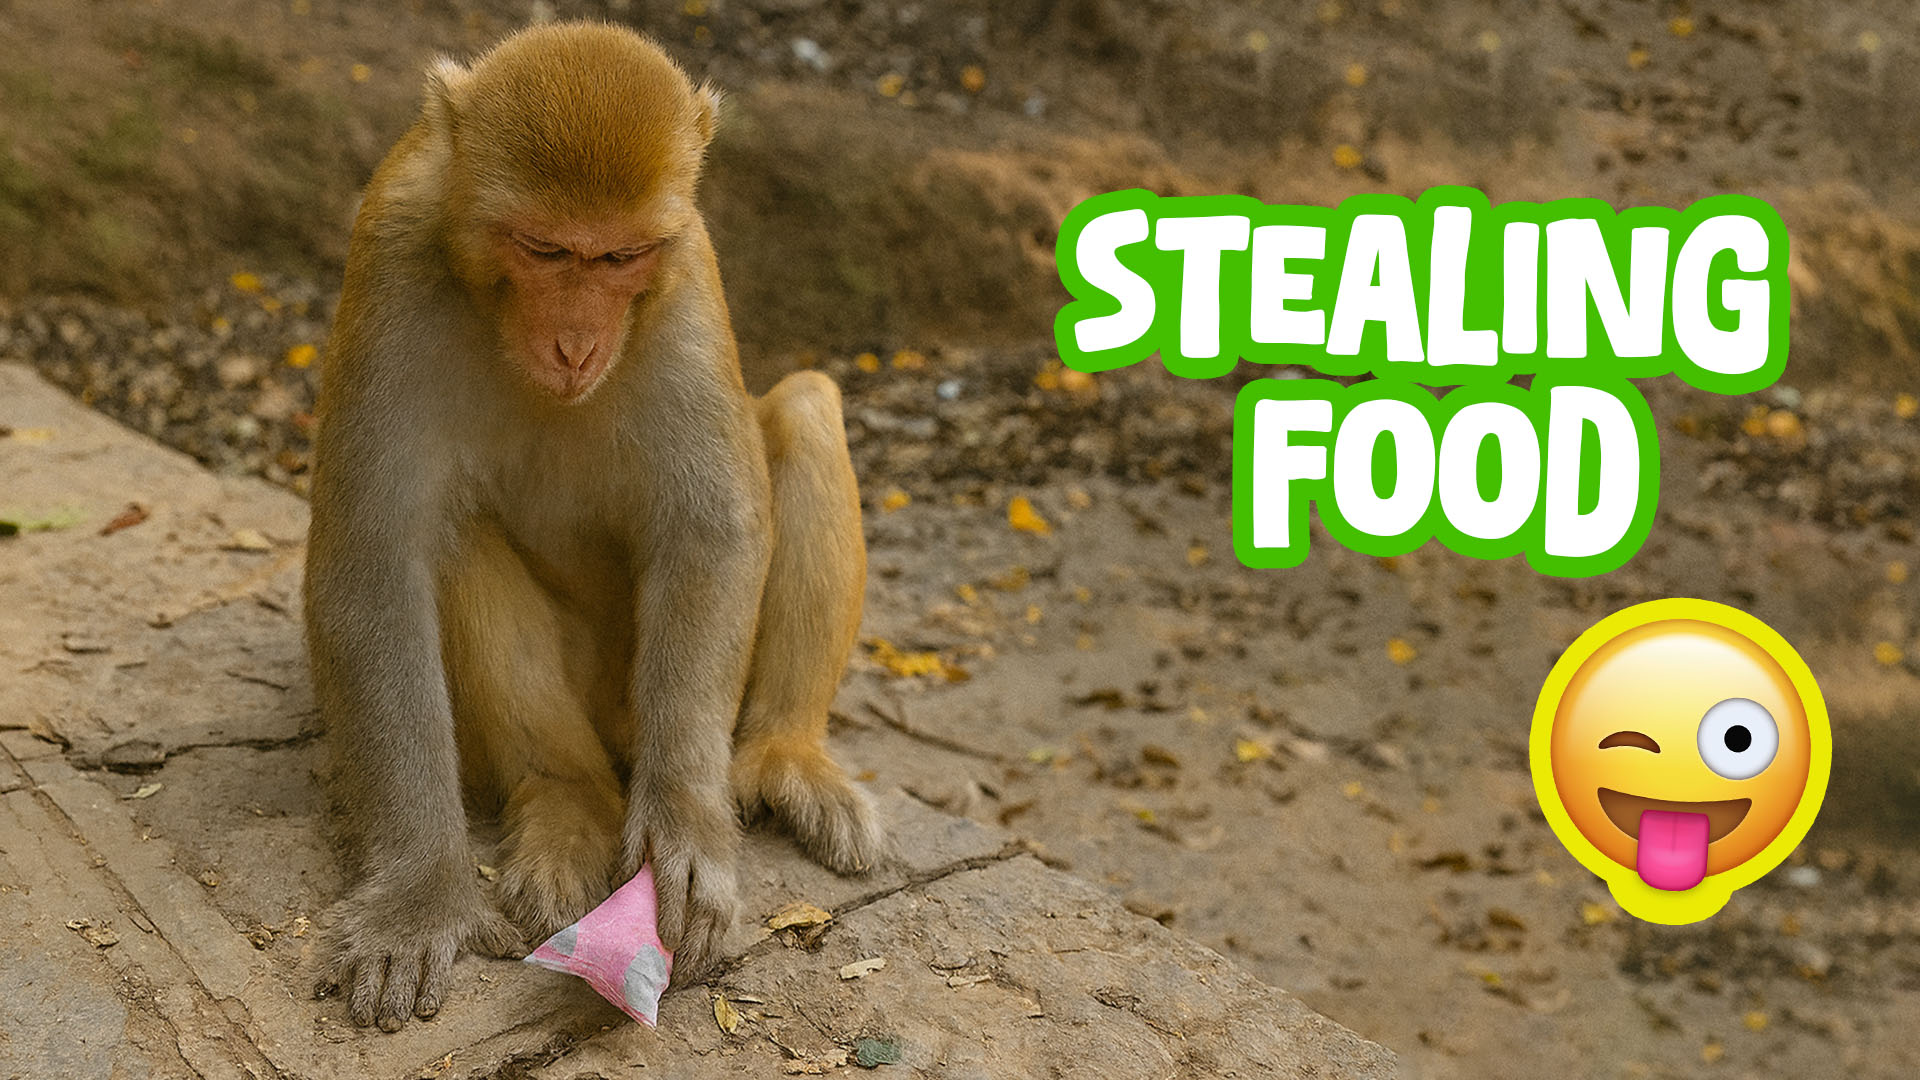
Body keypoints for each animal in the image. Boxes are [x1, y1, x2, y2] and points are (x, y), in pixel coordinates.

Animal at [303, 22, 884, 1032]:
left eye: (619, 258)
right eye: (543, 247)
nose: (575, 344)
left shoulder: (685, 271)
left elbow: (711, 527)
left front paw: (685, 833)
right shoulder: (391, 254)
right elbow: (372, 563)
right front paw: (420, 897)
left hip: (644, 698)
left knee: (808, 406)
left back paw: (785, 753)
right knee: (450, 536)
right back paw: (568, 804)